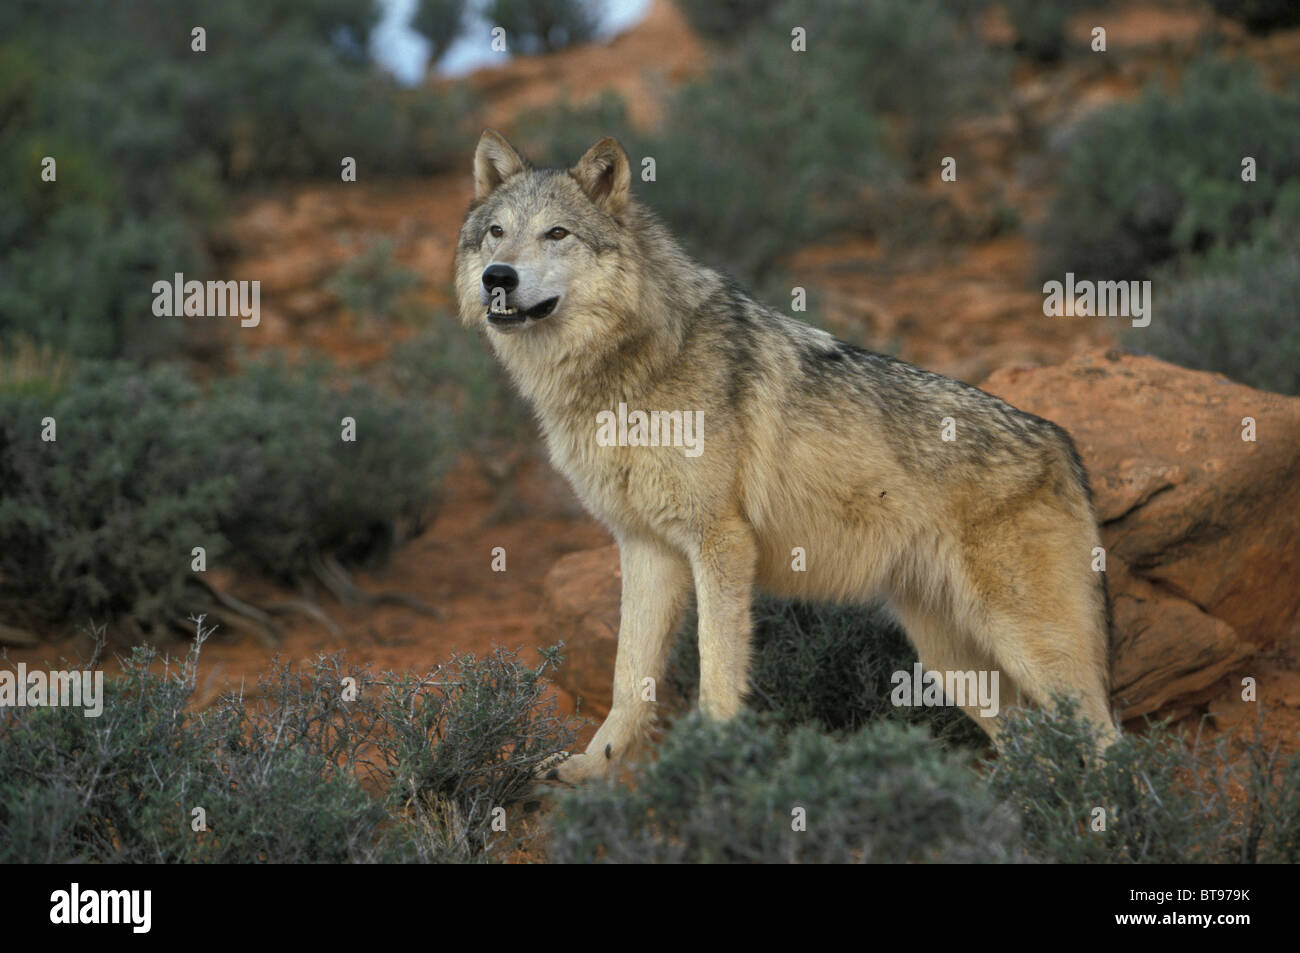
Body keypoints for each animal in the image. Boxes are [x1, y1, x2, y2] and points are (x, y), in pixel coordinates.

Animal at [454, 130, 1119, 783]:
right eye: (496, 232)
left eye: (556, 233)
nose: (497, 277)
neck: (627, 369)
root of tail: (1064, 445)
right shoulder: (647, 547)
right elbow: (628, 677)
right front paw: (595, 766)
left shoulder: (720, 542)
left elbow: (717, 675)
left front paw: (710, 762)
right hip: (954, 663)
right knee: (1036, 745)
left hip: (1026, 647)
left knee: (1110, 740)